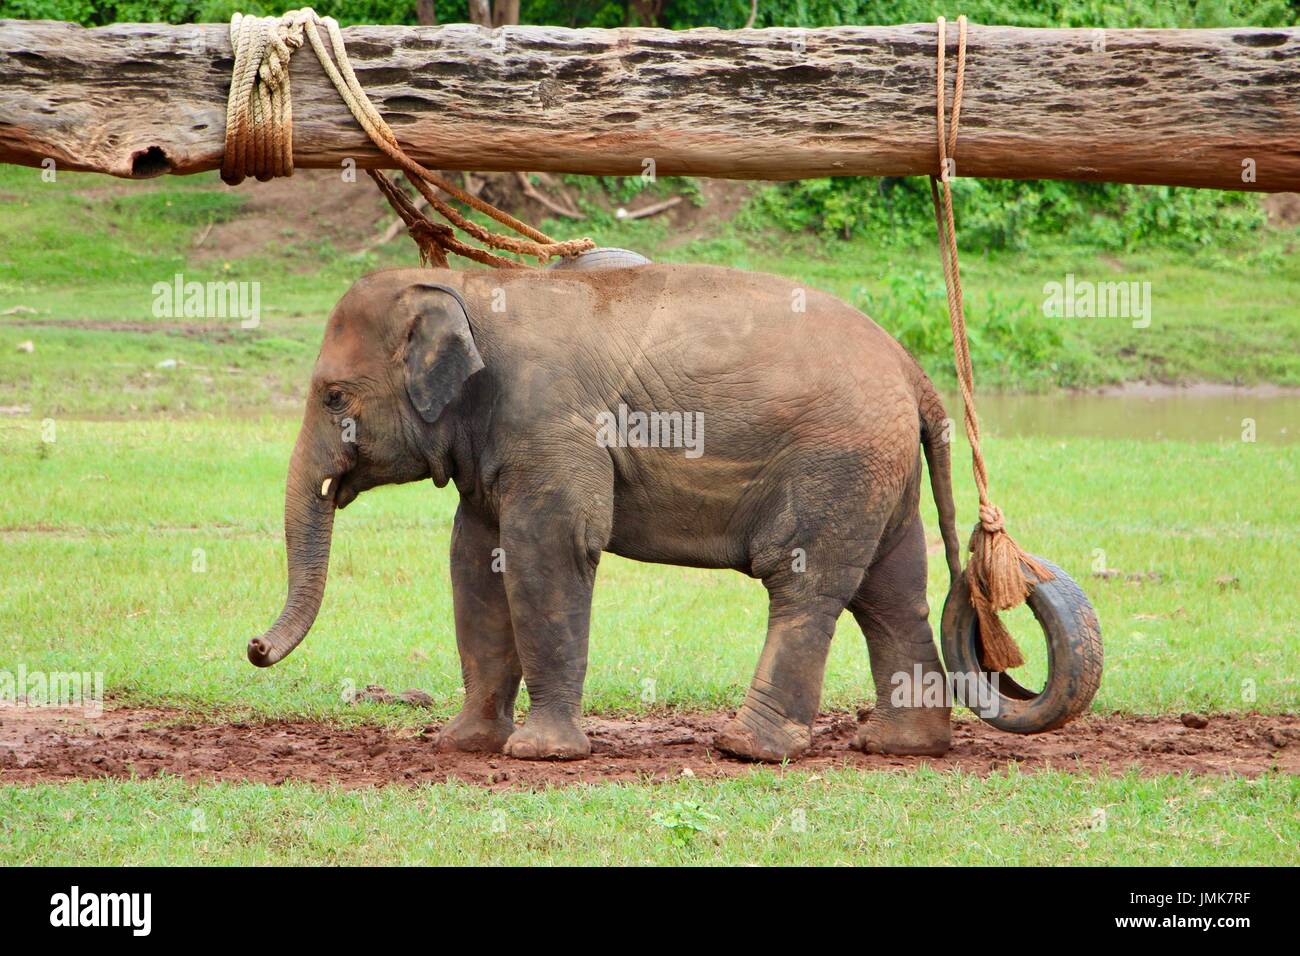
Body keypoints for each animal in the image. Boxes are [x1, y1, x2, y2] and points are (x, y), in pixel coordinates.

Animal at [247, 260, 964, 762]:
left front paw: (539, 754)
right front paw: (463, 744)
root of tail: (912, 369)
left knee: (803, 585)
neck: (473, 285)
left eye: (334, 397)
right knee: (892, 593)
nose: (254, 647)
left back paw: (746, 748)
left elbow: (548, 552)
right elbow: (475, 562)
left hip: (837, 462)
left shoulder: (552, 426)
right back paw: (901, 746)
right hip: (880, 471)